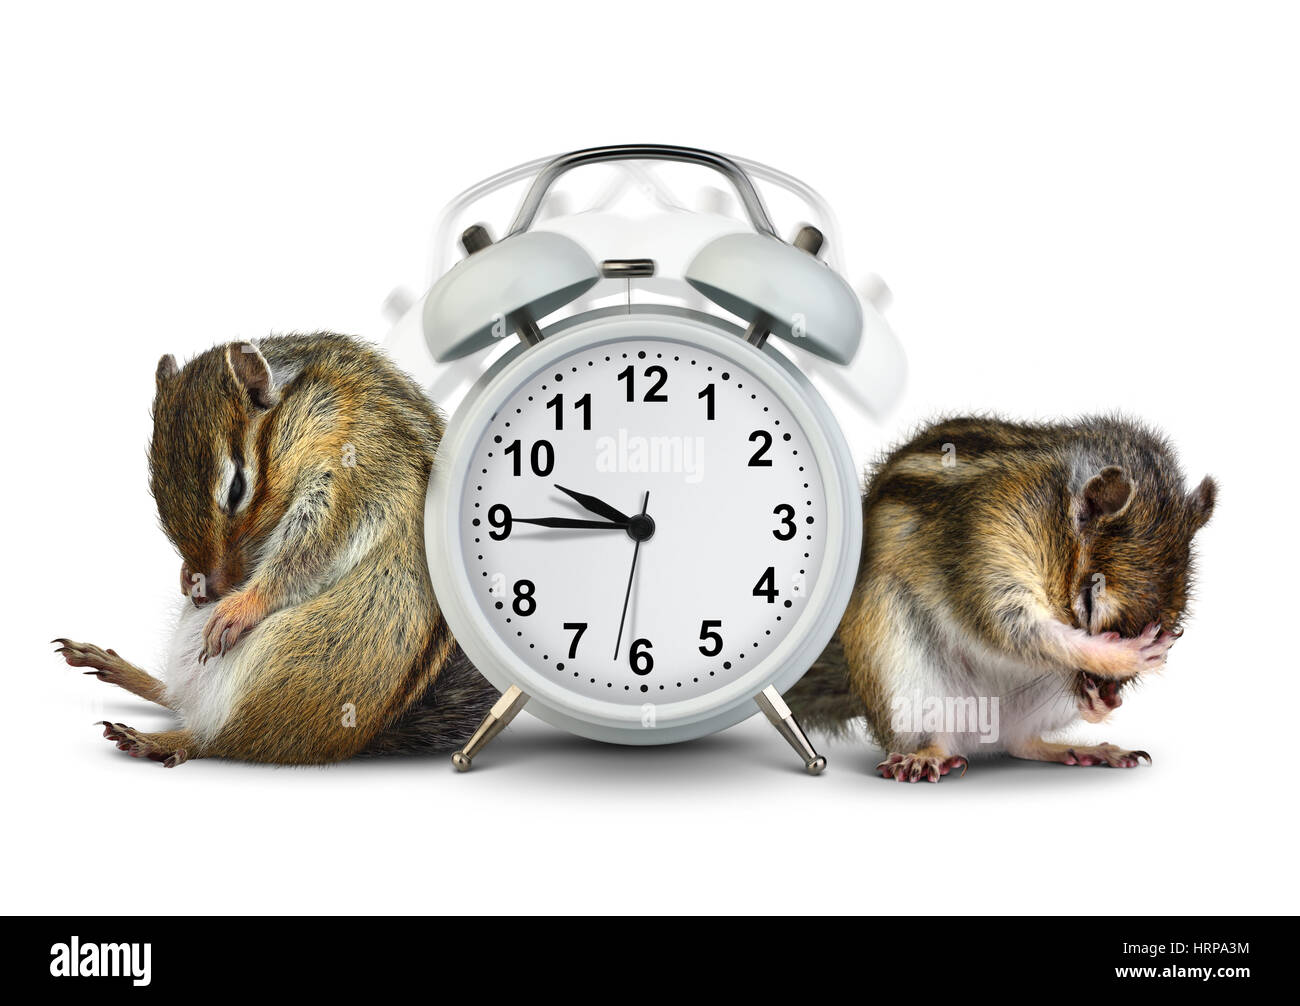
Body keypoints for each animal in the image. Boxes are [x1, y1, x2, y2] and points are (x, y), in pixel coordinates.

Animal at [54, 333, 497, 766]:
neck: (305, 409)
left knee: (219, 740)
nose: (210, 592)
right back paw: (109, 664)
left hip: (287, 661)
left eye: (236, 489)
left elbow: (306, 556)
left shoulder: (353, 473)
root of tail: (361, 739)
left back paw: (156, 739)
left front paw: (240, 606)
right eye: (154, 482)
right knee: (174, 698)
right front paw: (186, 578)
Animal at [787, 415, 1217, 782]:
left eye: (1177, 619)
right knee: (932, 735)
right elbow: (1009, 626)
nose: (1107, 692)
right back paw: (925, 756)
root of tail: (983, 732)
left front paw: (1106, 698)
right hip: (897, 673)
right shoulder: (988, 540)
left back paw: (1085, 750)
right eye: (1089, 602)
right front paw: (1122, 654)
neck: (1053, 511)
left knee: (1021, 743)